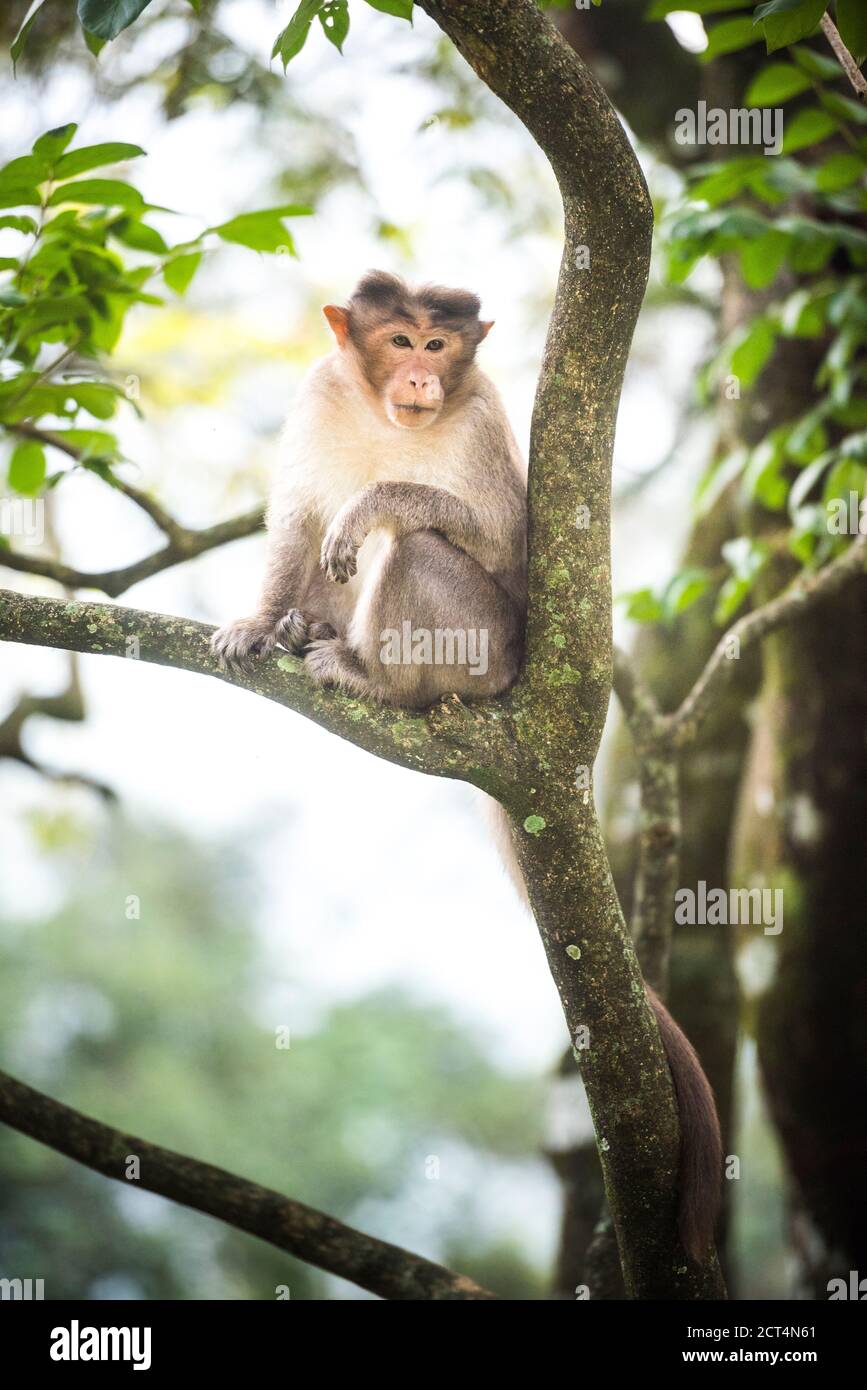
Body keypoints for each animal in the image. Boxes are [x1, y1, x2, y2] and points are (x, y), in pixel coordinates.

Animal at [211, 269, 527, 707]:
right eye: (401, 341)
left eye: (435, 345)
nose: (420, 379)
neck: (383, 418)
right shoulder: (320, 387)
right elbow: (298, 515)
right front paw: (262, 622)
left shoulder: (483, 418)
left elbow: (505, 539)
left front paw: (366, 506)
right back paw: (304, 630)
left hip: (483, 648)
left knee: (416, 550)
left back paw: (377, 680)